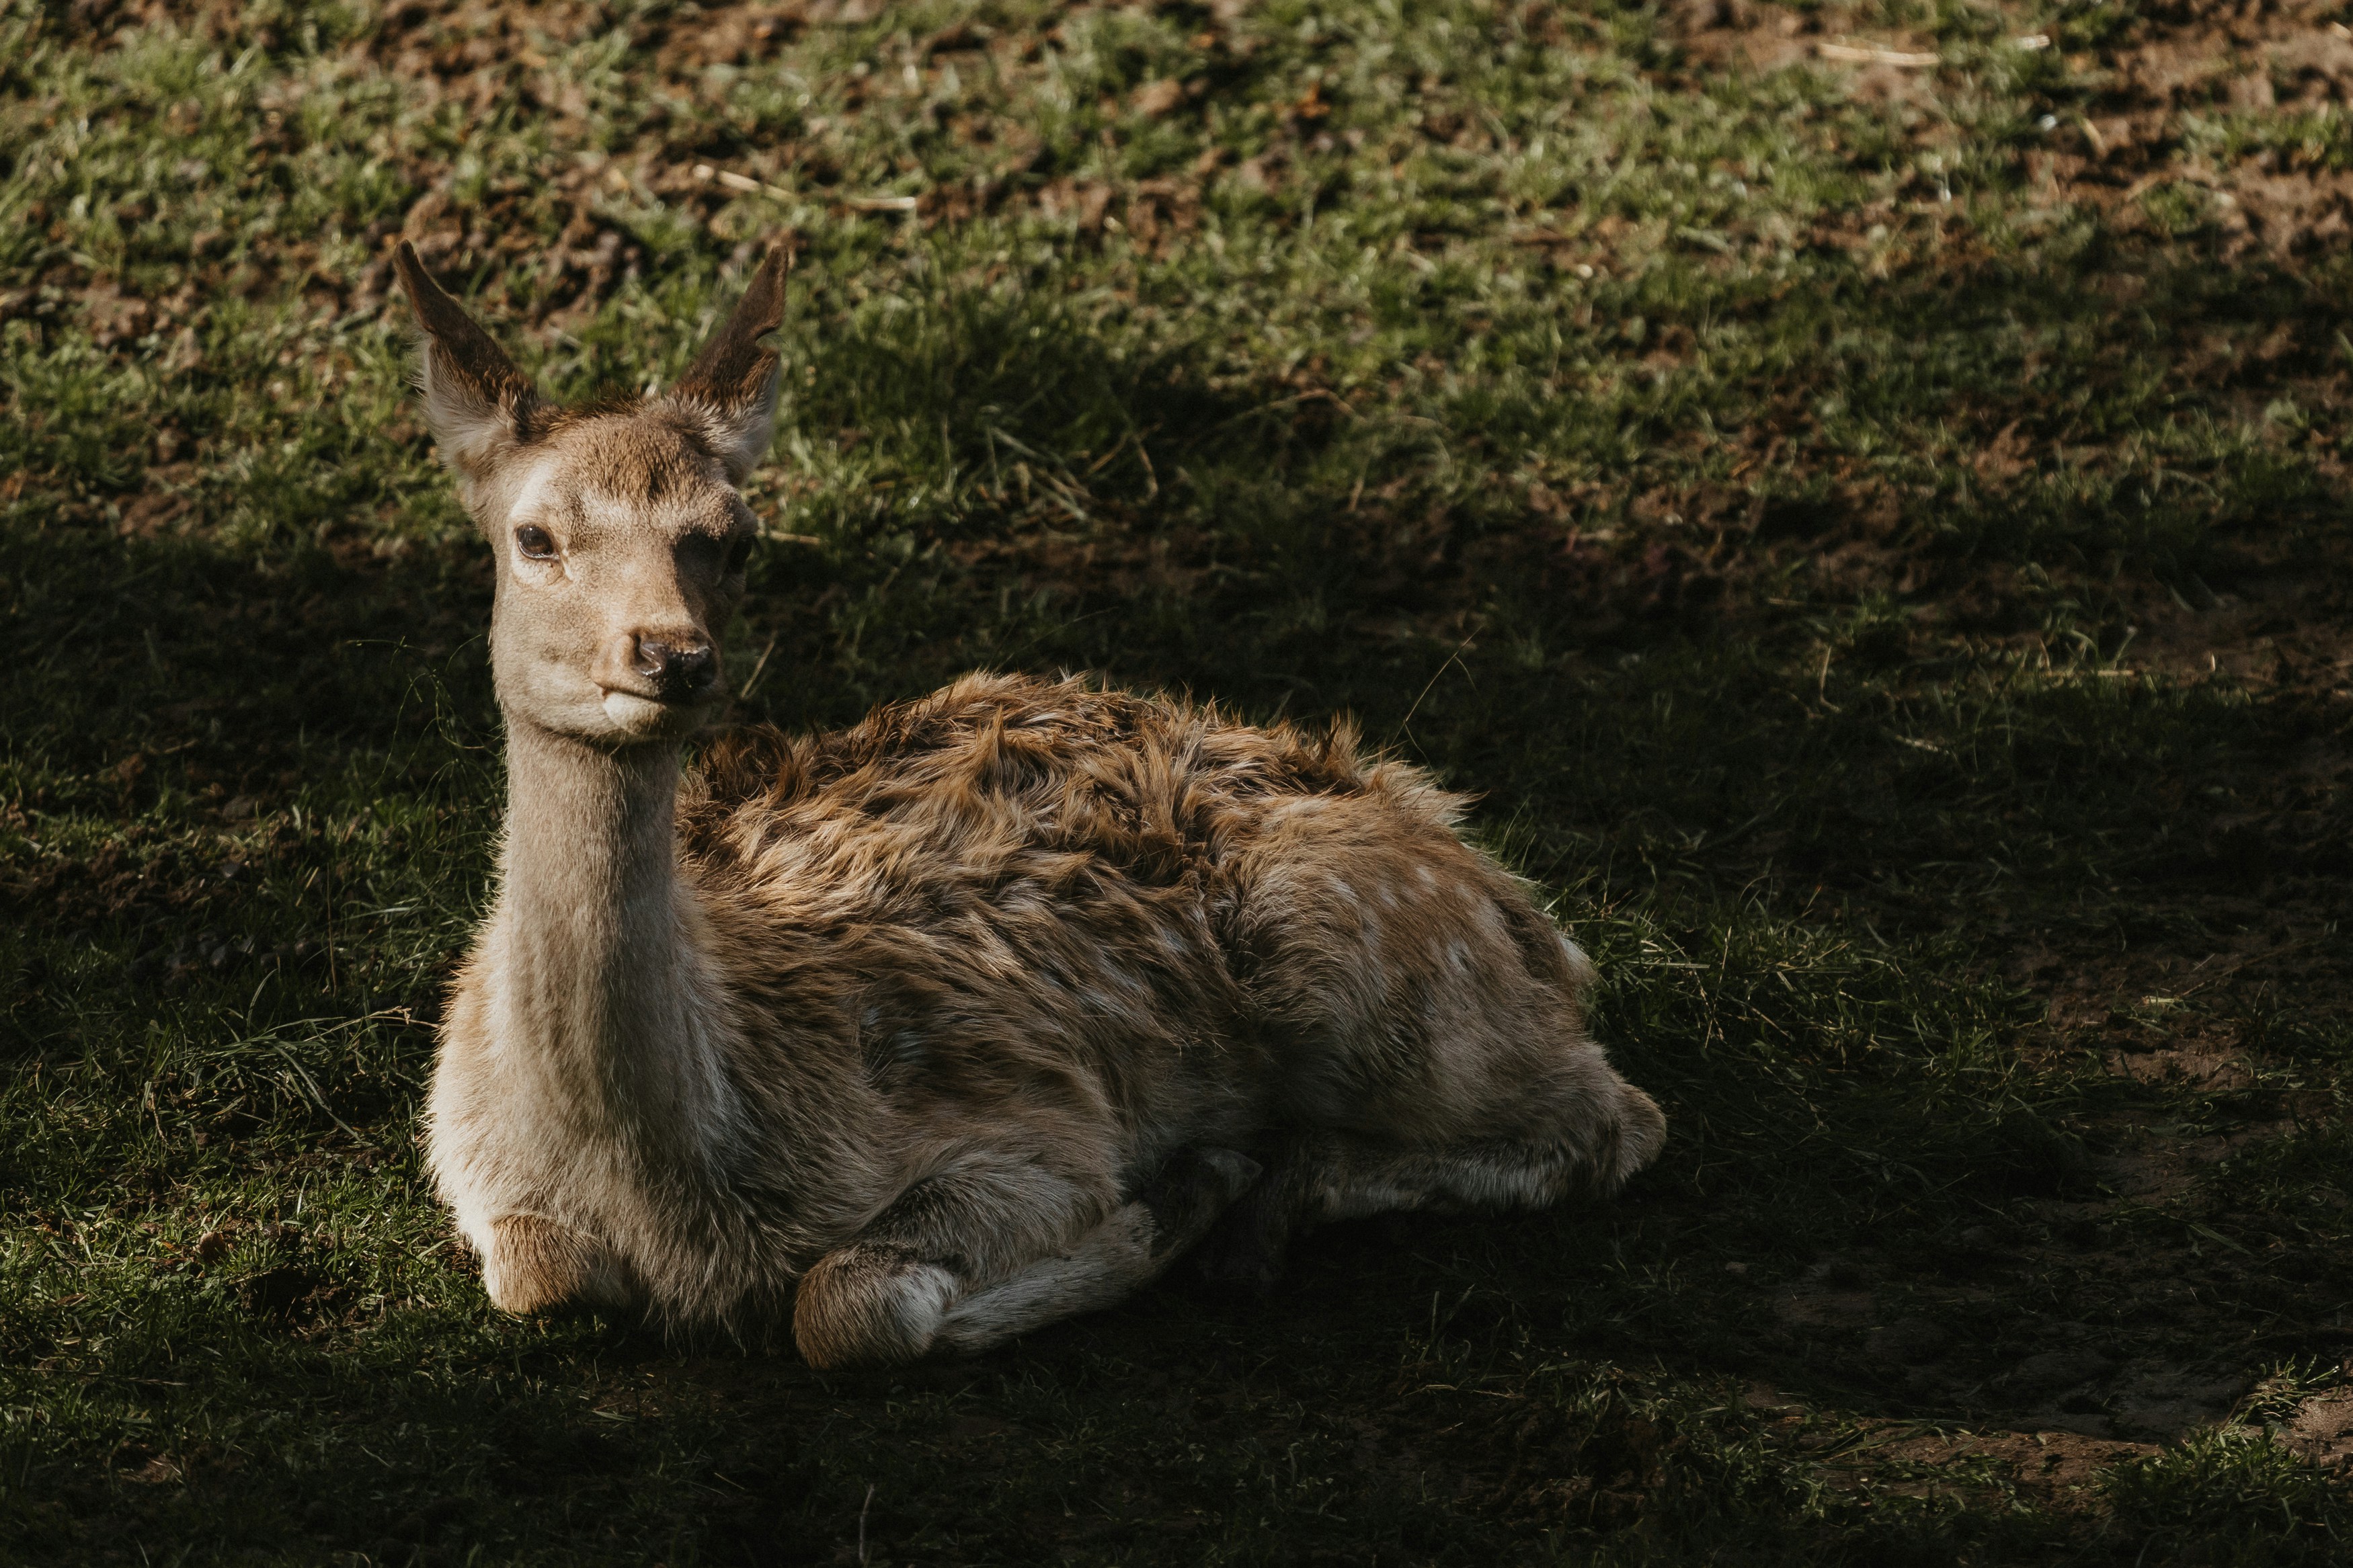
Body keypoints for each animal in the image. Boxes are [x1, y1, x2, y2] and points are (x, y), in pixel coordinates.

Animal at [395, 239, 1666, 1369]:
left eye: (737, 539)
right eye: (535, 536)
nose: (673, 654)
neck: (670, 1198)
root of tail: (1517, 906)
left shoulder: (1034, 1131)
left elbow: (848, 1303)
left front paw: (1164, 1207)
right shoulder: (466, 1158)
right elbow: (540, 1277)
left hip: (1363, 964)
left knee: (1613, 1120)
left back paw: (1255, 1203)